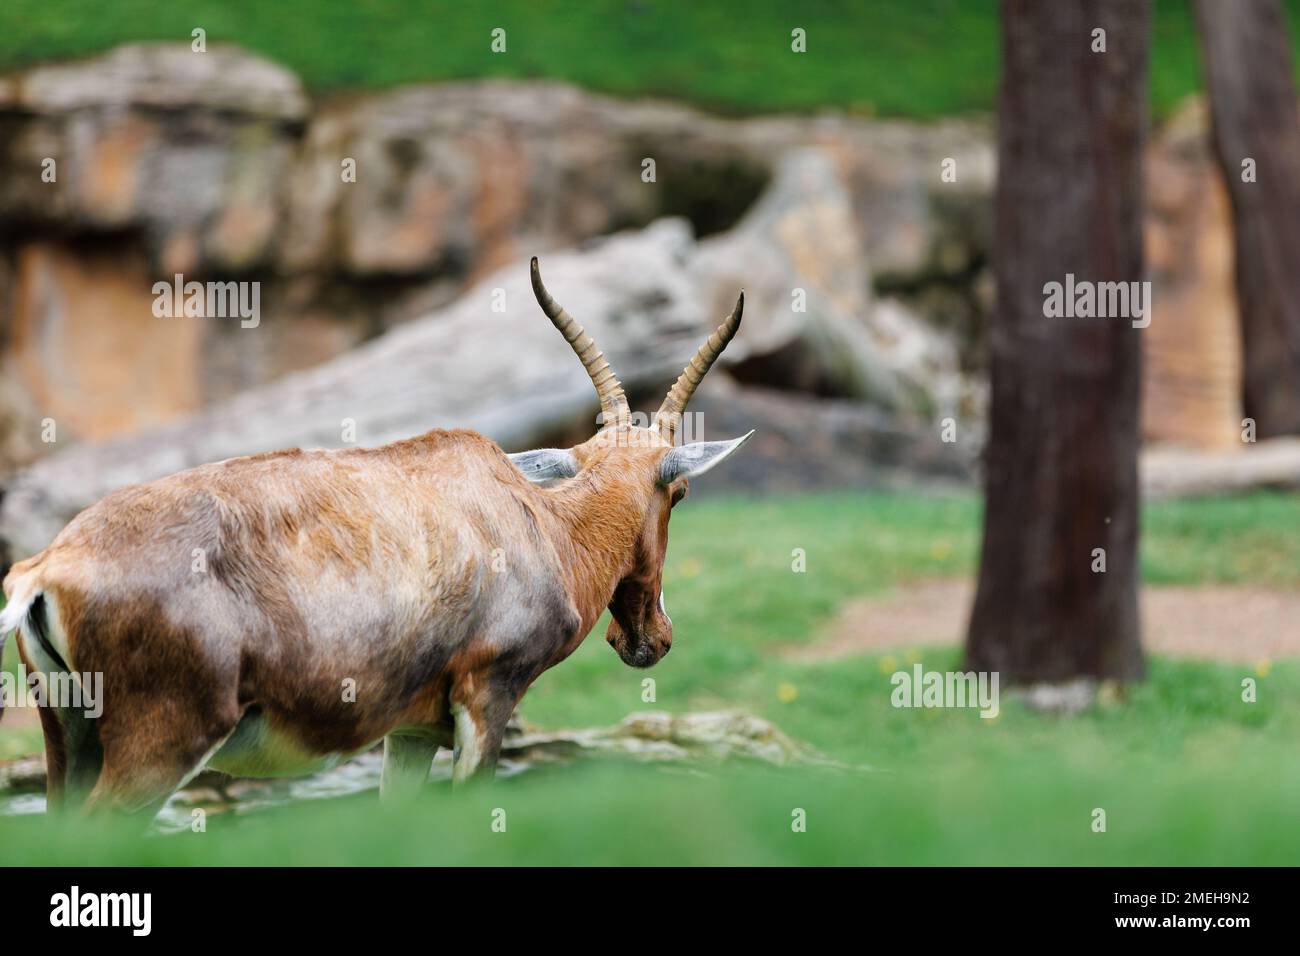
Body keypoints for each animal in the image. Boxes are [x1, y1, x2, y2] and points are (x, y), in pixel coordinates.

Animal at [0, 259, 752, 818]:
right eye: (680, 490)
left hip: (72, 739)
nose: (648, 639)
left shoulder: (413, 730)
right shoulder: (488, 700)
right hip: (159, 746)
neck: (530, 518)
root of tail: (48, 569)